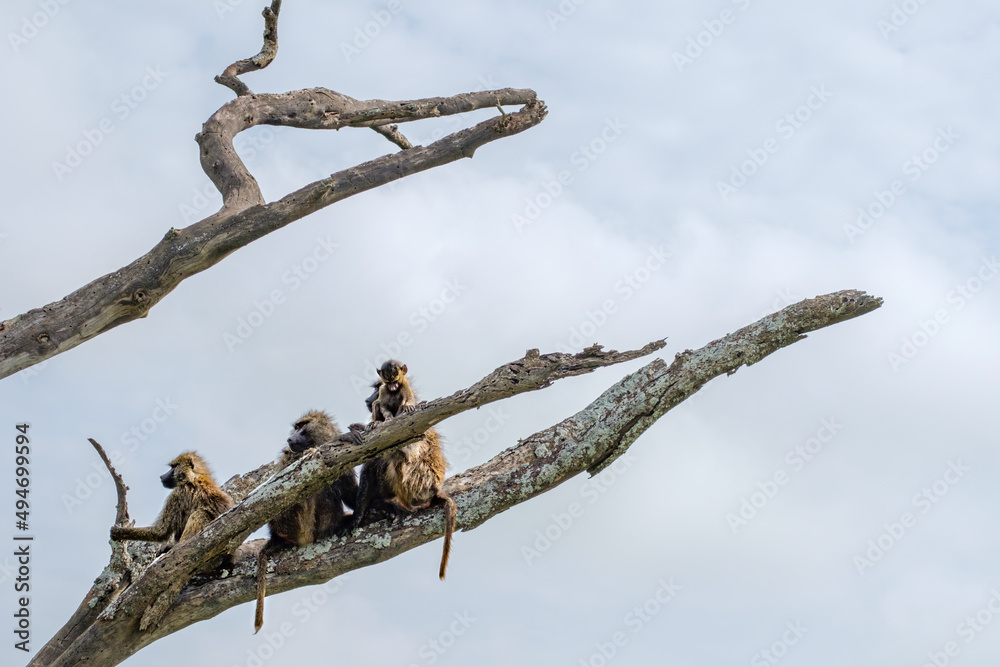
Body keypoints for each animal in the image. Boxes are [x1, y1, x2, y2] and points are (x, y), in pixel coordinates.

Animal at [255, 410, 358, 633]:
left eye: (302, 426)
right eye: (296, 427)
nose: (290, 438)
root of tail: (276, 535)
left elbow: (351, 496)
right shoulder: (292, 455)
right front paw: (344, 436)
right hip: (296, 525)